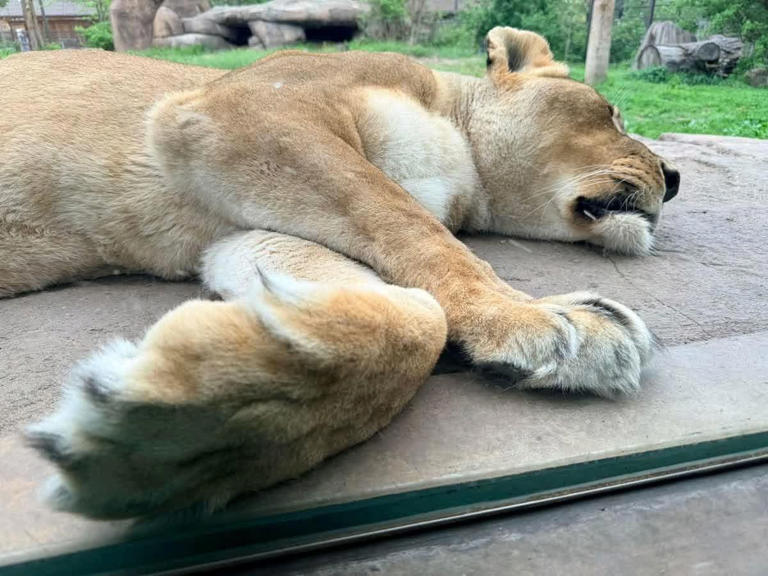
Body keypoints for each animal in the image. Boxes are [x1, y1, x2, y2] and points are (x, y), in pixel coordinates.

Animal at [0, 27, 679, 519]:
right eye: (612, 114)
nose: (674, 178)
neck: (466, 175)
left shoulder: (237, 231)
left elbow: (416, 314)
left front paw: (211, 433)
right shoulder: (247, 108)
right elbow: (411, 228)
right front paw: (538, 318)